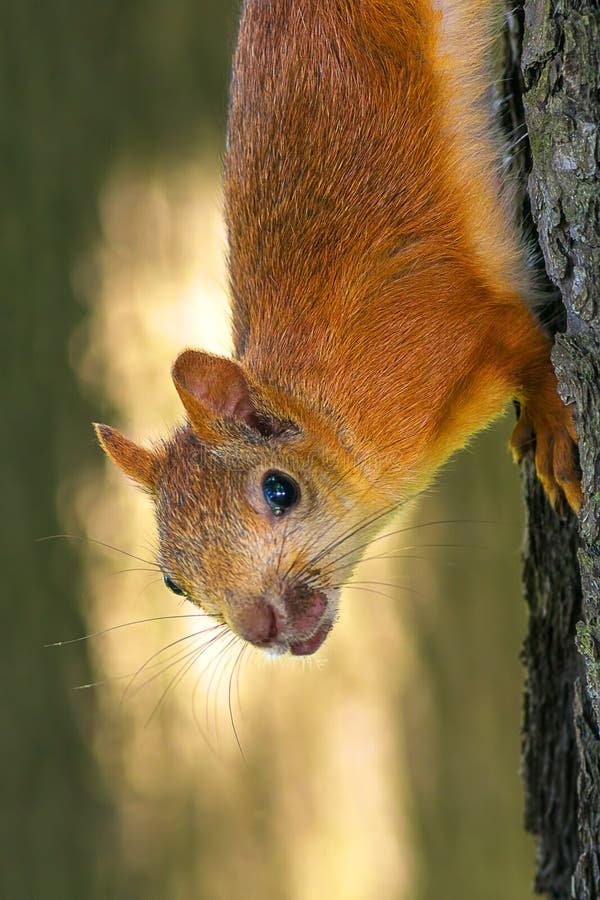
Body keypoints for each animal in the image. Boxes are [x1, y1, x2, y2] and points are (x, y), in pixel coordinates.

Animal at [95, 0, 582, 657]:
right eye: (174, 582)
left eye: (280, 490)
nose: (259, 629)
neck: (335, 411)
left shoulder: (450, 328)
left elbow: (530, 347)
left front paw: (552, 422)